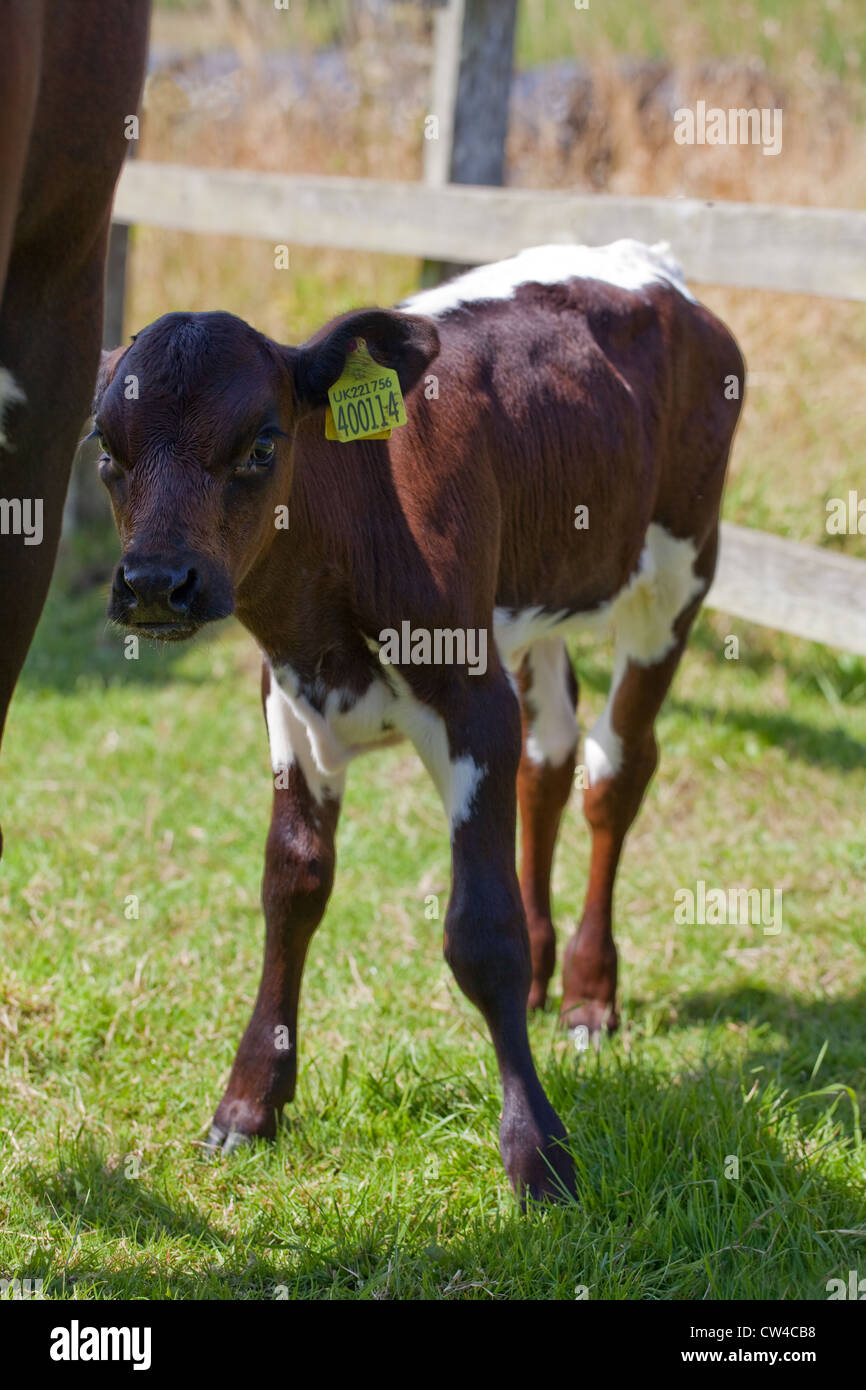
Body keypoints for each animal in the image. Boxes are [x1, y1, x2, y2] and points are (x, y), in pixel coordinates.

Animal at [93, 240, 745, 1202]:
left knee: (615, 770)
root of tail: (645, 263)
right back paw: (550, 977)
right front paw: (249, 1104)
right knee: (550, 758)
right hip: (533, 605)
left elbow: (481, 932)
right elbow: (291, 888)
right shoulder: (288, 703)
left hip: (676, 574)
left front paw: (539, 1154)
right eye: (106, 448)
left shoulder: (472, 699)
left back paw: (590, 996)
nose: (152, 584)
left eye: (261, 443)